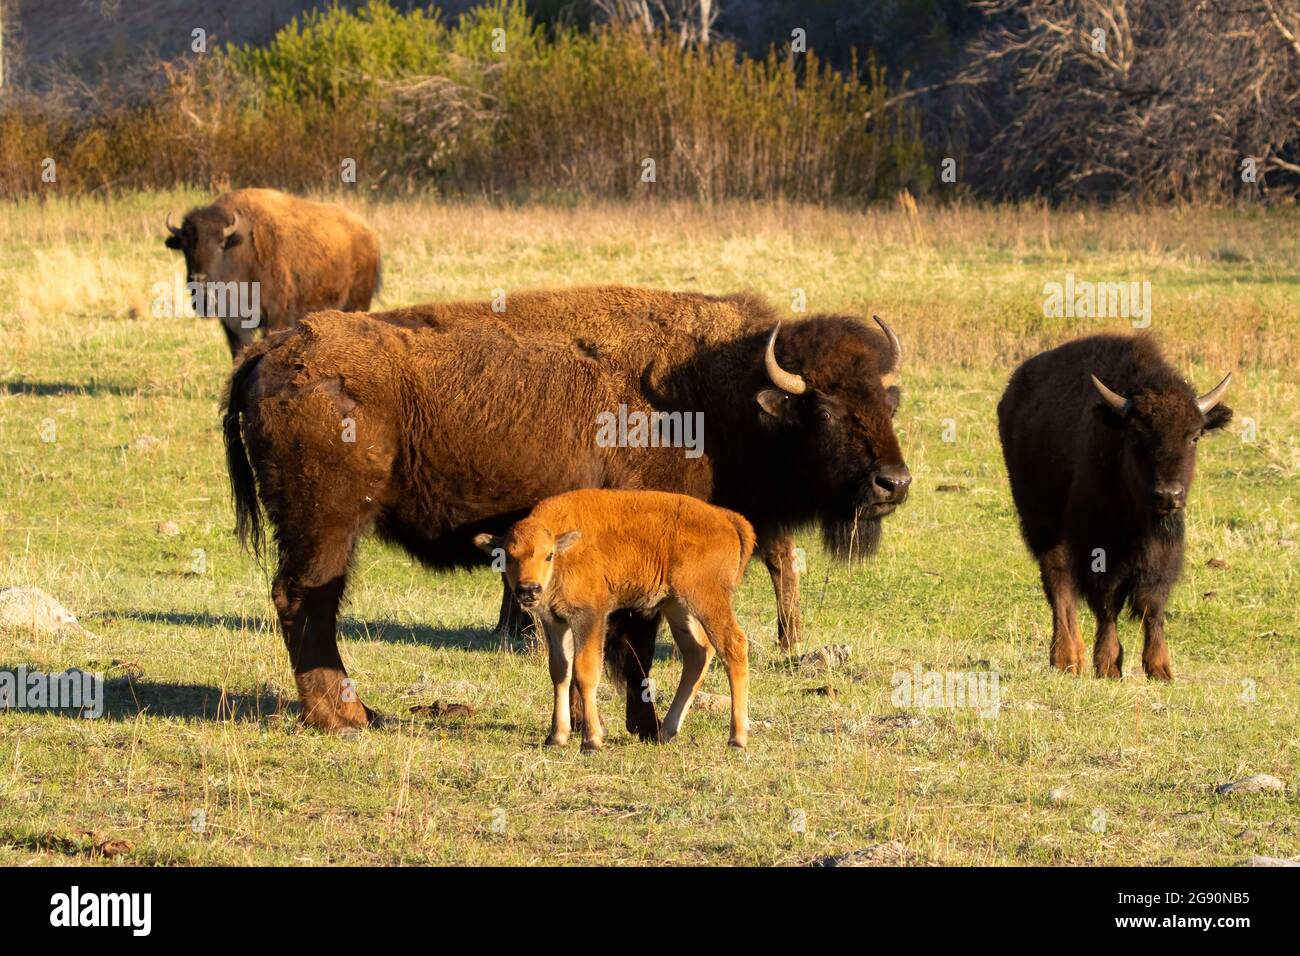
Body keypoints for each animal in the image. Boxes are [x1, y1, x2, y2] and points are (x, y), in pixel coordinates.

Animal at [164, 188, 382, 359]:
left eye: (220, 245)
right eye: (185, 246)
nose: (198, 279)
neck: (240, 247)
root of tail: (369, 234)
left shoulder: (275, 318)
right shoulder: (234, 324)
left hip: (356, 304)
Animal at [223, 286, 911, 732]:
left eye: (886, 402)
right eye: (824, 409)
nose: (893, 483)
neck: (719, 394)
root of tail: (275, 349)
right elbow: (634, 641)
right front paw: (641, 724)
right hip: (328, 526)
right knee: (305, 601)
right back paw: (343, 716)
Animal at [997, 334, 1232, 680]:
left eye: (1194, 436)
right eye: (1136, 436)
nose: (1168, 495)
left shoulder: (1164, 548)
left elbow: (1152, 602)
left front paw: (1160, 668)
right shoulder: (1098, 545)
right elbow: (1107, 601)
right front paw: (1108, 665)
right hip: (1043, 525)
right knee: (1060, 586)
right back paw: (1067, 660)